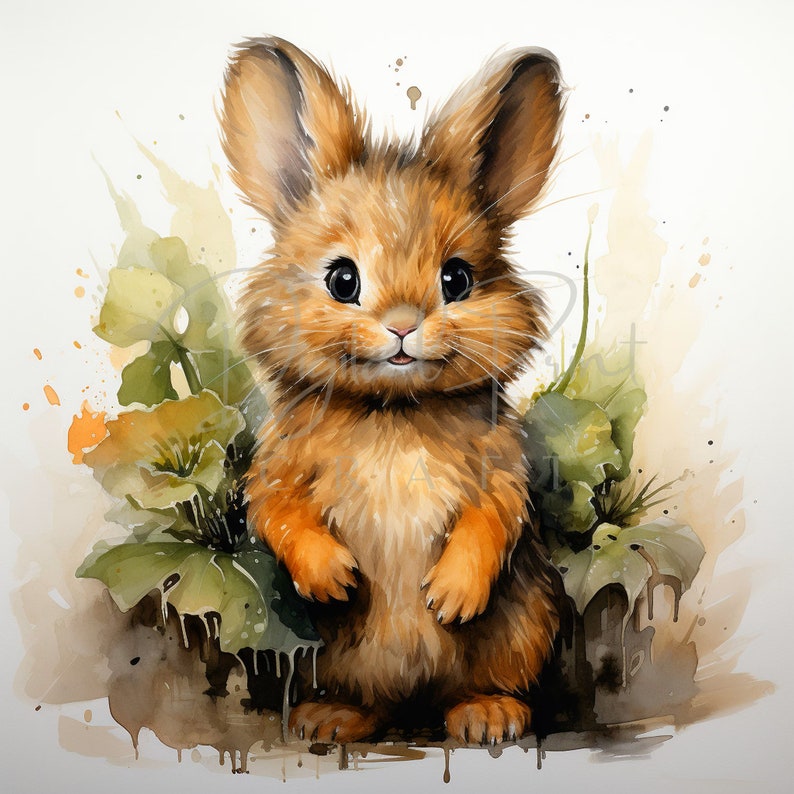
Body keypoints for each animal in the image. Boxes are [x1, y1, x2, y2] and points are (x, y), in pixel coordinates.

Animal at [221, 36, 564, 745]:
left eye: (457, 279)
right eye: (341, 278)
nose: (404, 325)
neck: (393, 410)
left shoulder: (499, 469)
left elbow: (492, 517)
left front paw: (450, 597)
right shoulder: (278, 468)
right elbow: (278, 510)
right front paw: (334, 580)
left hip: (525, 627)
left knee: (477, 688)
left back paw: (488, 717)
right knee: (369, 704)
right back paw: (329, 720)